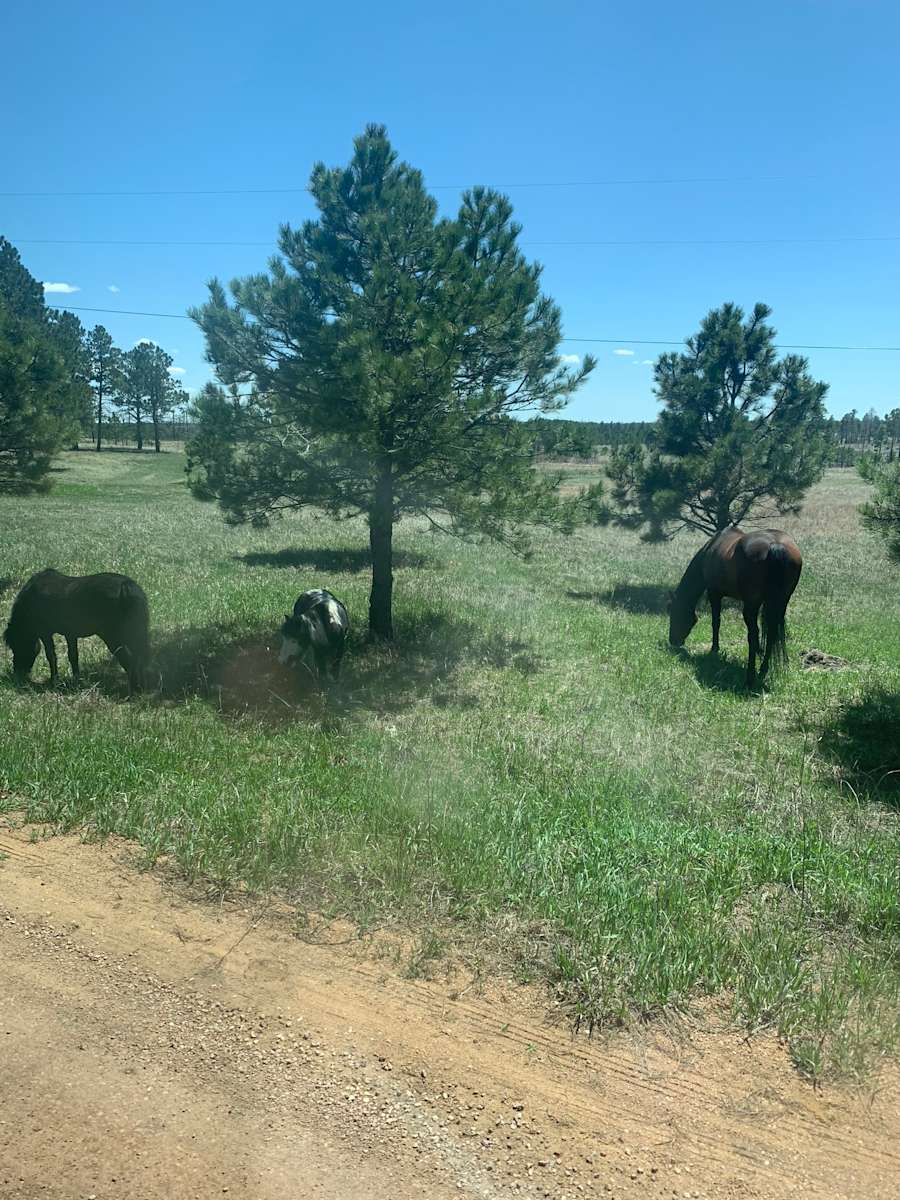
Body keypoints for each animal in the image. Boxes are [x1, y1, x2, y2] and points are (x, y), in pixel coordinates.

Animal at [3, 569, 150, 692]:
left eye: (16, 645)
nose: (18, 672)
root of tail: (126, 587)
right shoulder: (70, 634)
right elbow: (73, 656)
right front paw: (76, 681)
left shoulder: (45, 633)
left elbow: (51, 656)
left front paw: (55, 681)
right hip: (134, 635)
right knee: (139, 658)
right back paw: (140, 688)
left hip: (114, 637)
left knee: (129, 659)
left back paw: (133, 691)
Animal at [668, 528, 802, 688]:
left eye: (673, 613)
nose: (673, 641)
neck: (711, 548)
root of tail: (776, 545)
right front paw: (759, 651)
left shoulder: (714, 593)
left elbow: (716, 622)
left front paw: (714, 650)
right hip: (781, 603)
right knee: (771, 634)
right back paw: (762, 670)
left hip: (751, 605)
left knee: (753, 635)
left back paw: (750, 677)